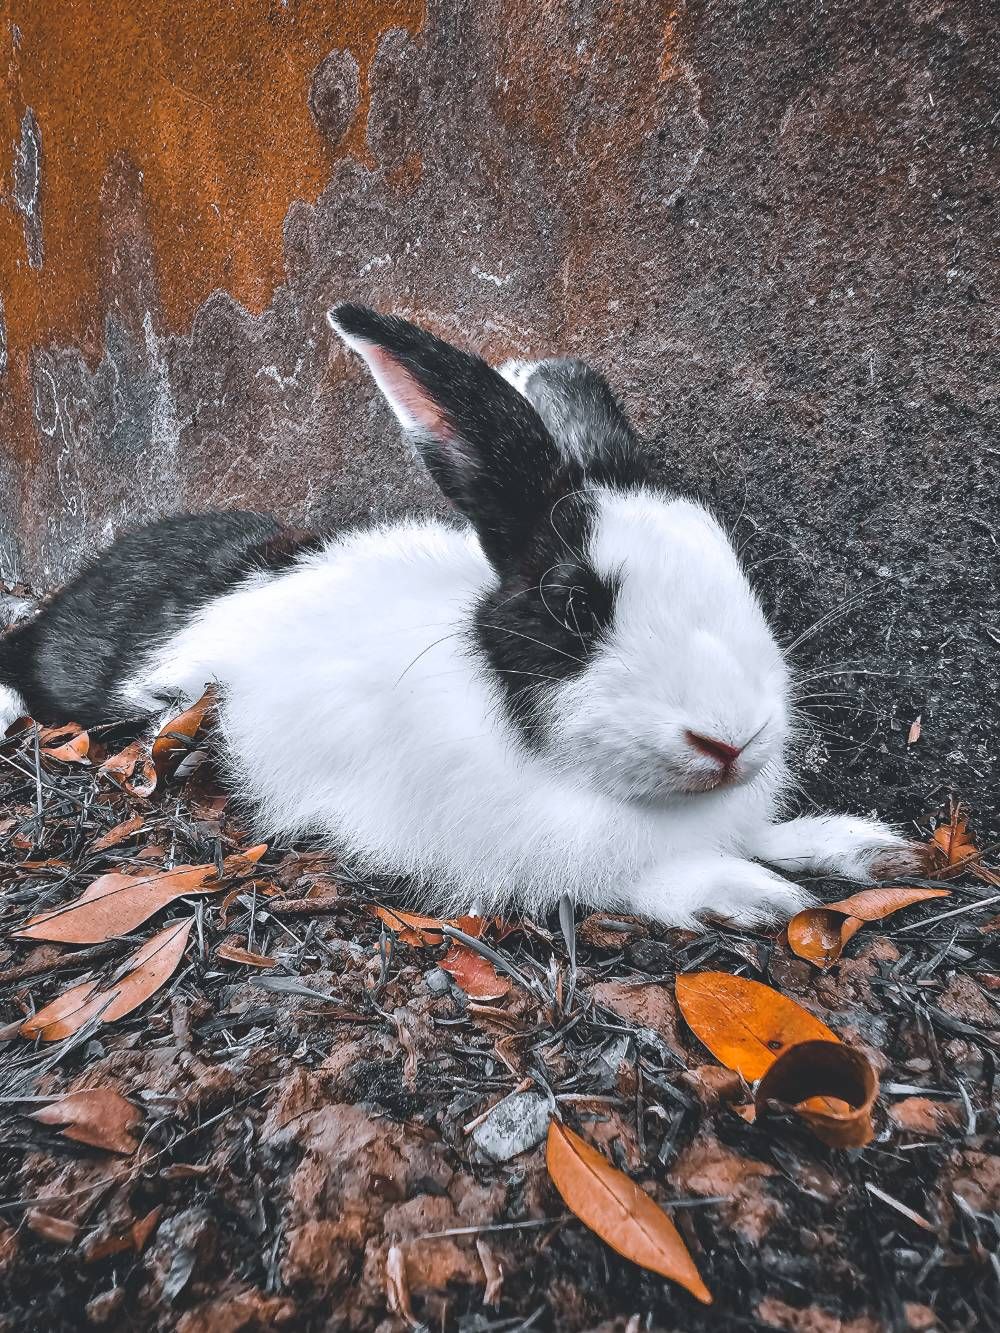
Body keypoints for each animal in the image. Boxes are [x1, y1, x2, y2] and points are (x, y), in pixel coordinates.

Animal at [0, 305, 924, 926]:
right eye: (571, 600)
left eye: (731, 565)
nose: (731, 740)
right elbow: (622, 877)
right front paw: (746, 895)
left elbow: (767, 832)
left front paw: (866, 846)